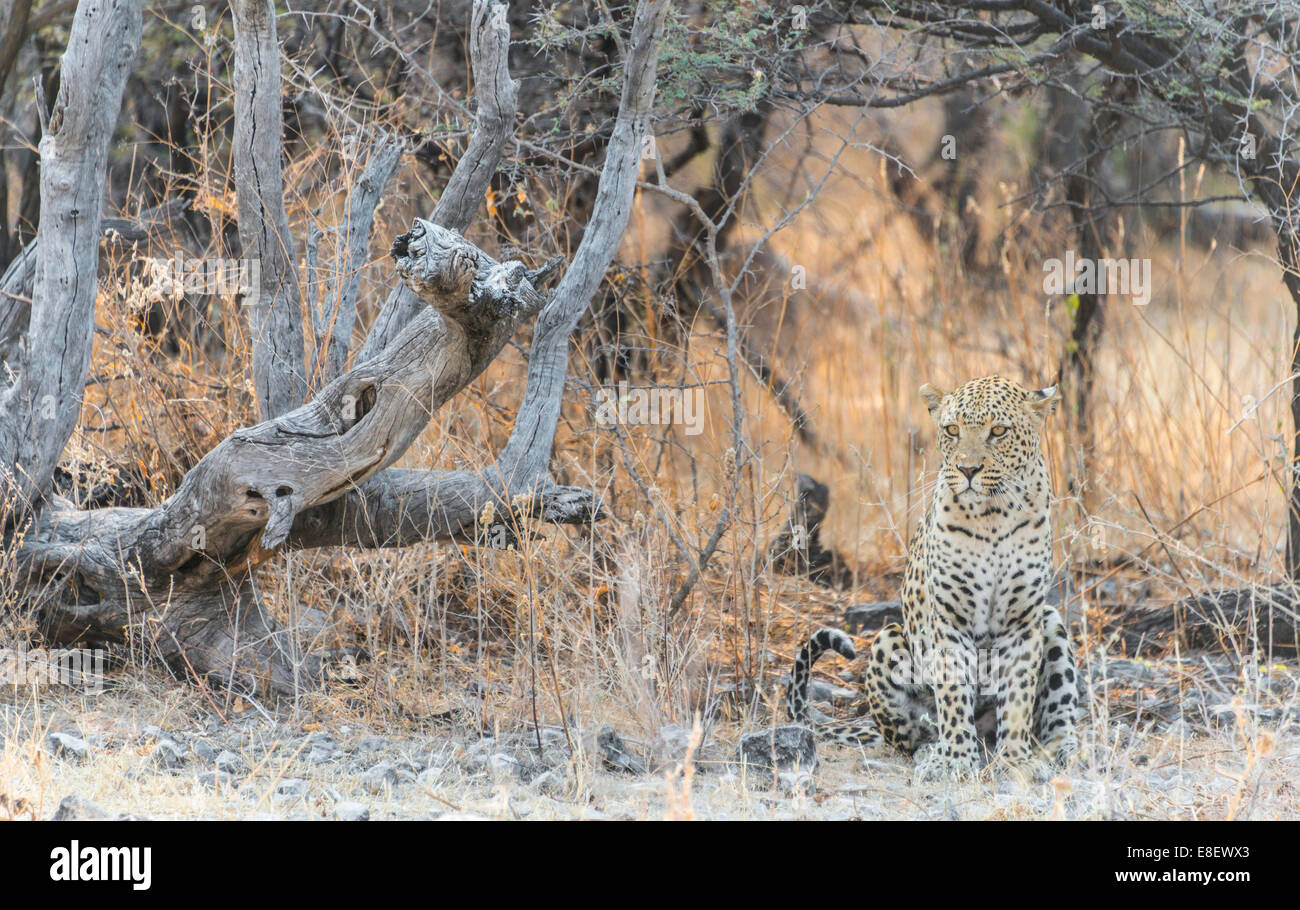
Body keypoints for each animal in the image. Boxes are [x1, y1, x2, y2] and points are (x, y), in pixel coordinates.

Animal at [787, 375, 1079, 780]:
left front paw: (1015, 761)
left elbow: (1018, 698)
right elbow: (953, 694)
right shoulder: (949, 619)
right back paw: (933, 751)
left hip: (1051, 622)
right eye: (952, 430)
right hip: (888, 640)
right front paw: (955, 760)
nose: (968, 470)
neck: (993, 515)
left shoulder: (1023, 622)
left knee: (1057, 716)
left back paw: (1057, 751)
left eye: (998, 431)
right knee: (911, 735)